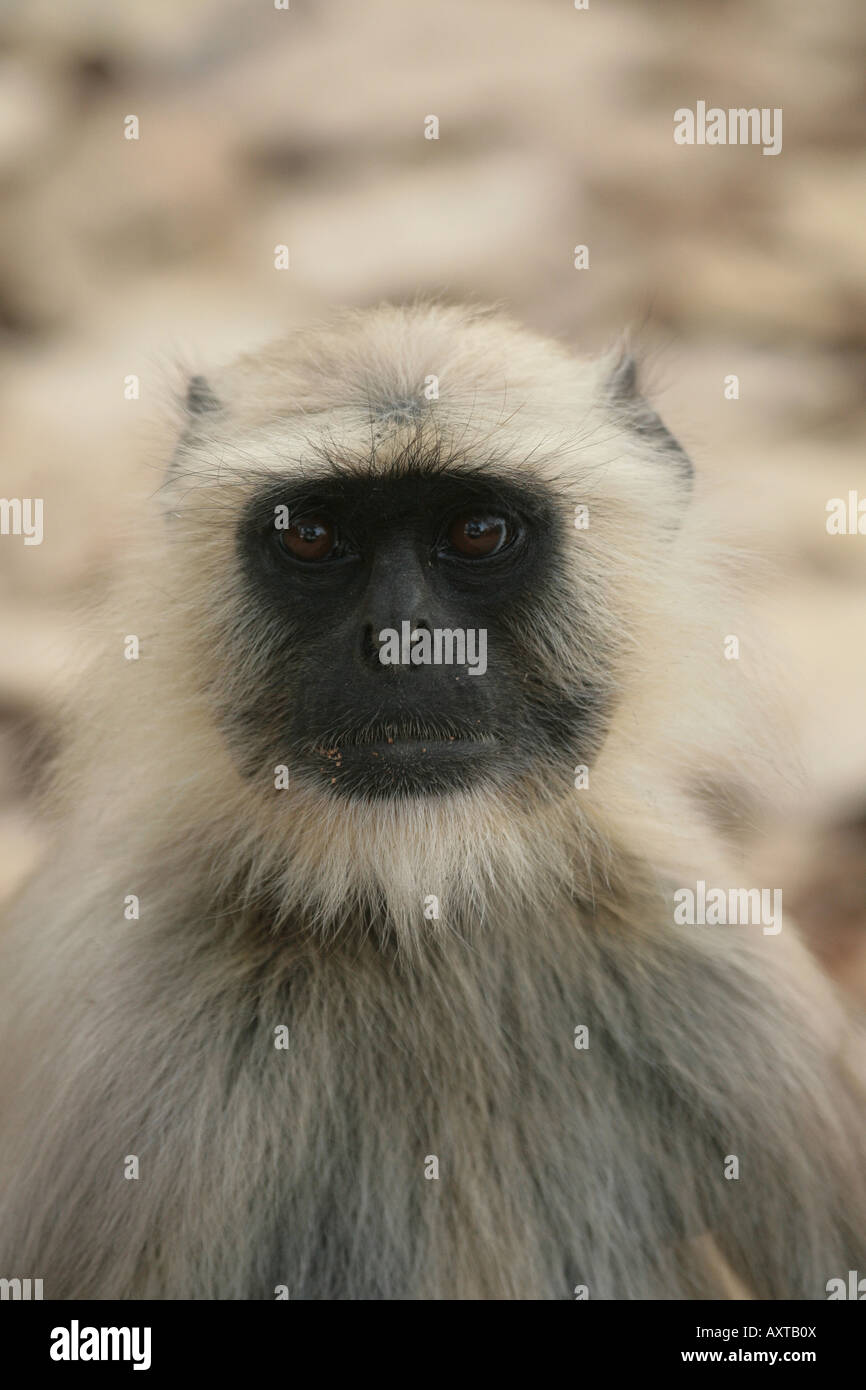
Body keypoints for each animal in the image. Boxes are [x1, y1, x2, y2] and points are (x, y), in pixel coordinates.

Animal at [0, 302, 863, 1300]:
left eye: (479, 531)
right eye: (310, 537)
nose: (403, 639)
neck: (423, 907)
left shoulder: (731, 986)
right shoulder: (131, 1050)